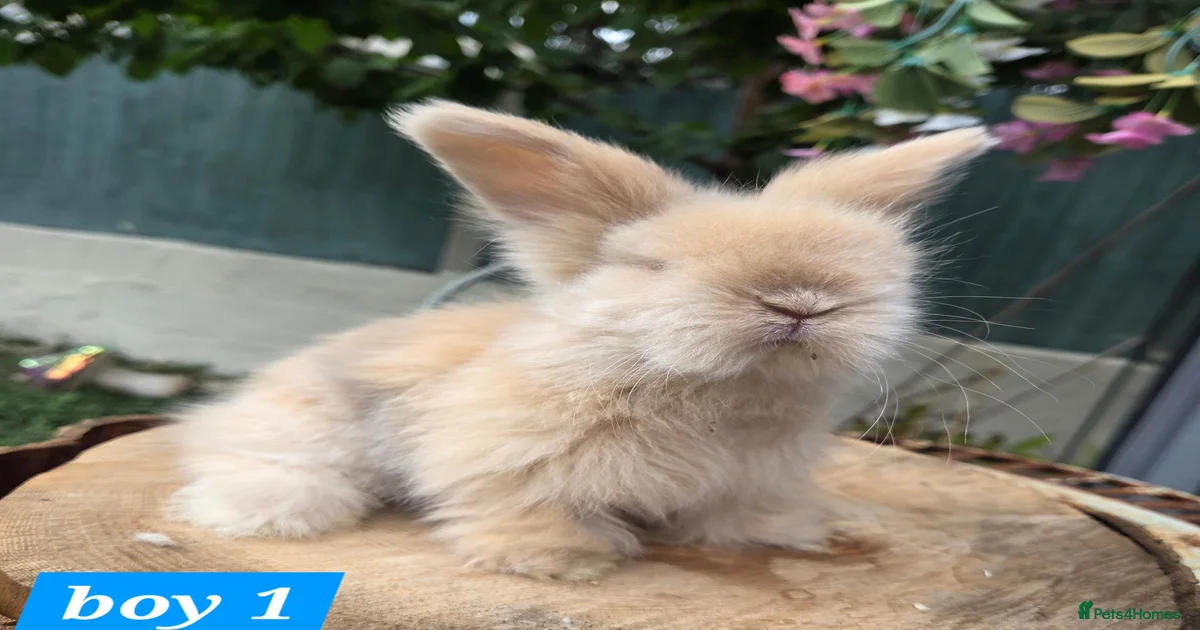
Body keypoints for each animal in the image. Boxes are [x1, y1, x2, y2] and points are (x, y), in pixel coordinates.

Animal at [170, 99, 993, 581]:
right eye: (654, 267)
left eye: (875, 267)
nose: (803, 301)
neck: (722, 396)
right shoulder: (503, 456)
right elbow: (530, 506)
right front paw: (558, 562)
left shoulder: (753, 475)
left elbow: (737, 515)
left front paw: (773, 536)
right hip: (310, 424)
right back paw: (263, 512)